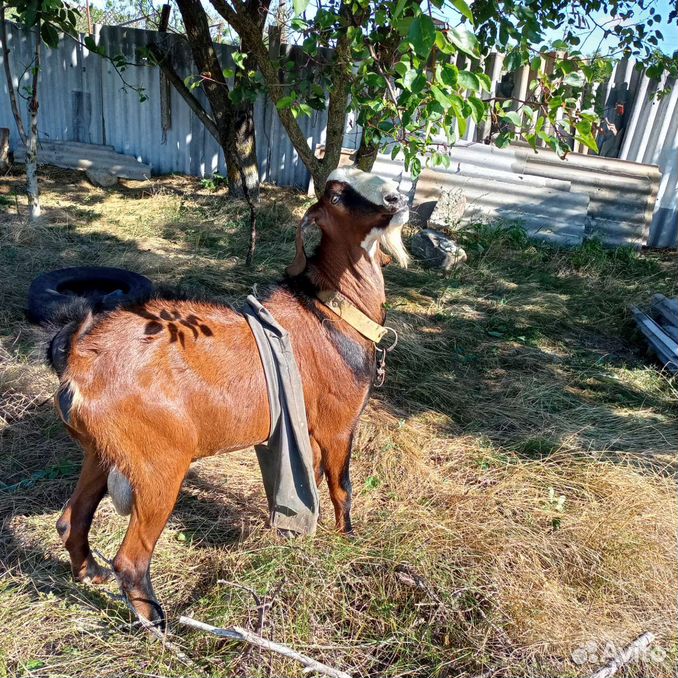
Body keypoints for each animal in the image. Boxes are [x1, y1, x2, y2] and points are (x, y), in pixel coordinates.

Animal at [51, 169, 410, 628]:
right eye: (336, 195)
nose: (396, 198)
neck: (330, 314)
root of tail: (80, 364)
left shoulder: (306, 429)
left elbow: (308, 479)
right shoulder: (338, 423)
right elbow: (341, 487)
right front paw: (348, 539)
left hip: (103, 451)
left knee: (72, 520)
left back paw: (90, 573)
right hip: (159, 464)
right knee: (130, 559)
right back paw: (160, 624)